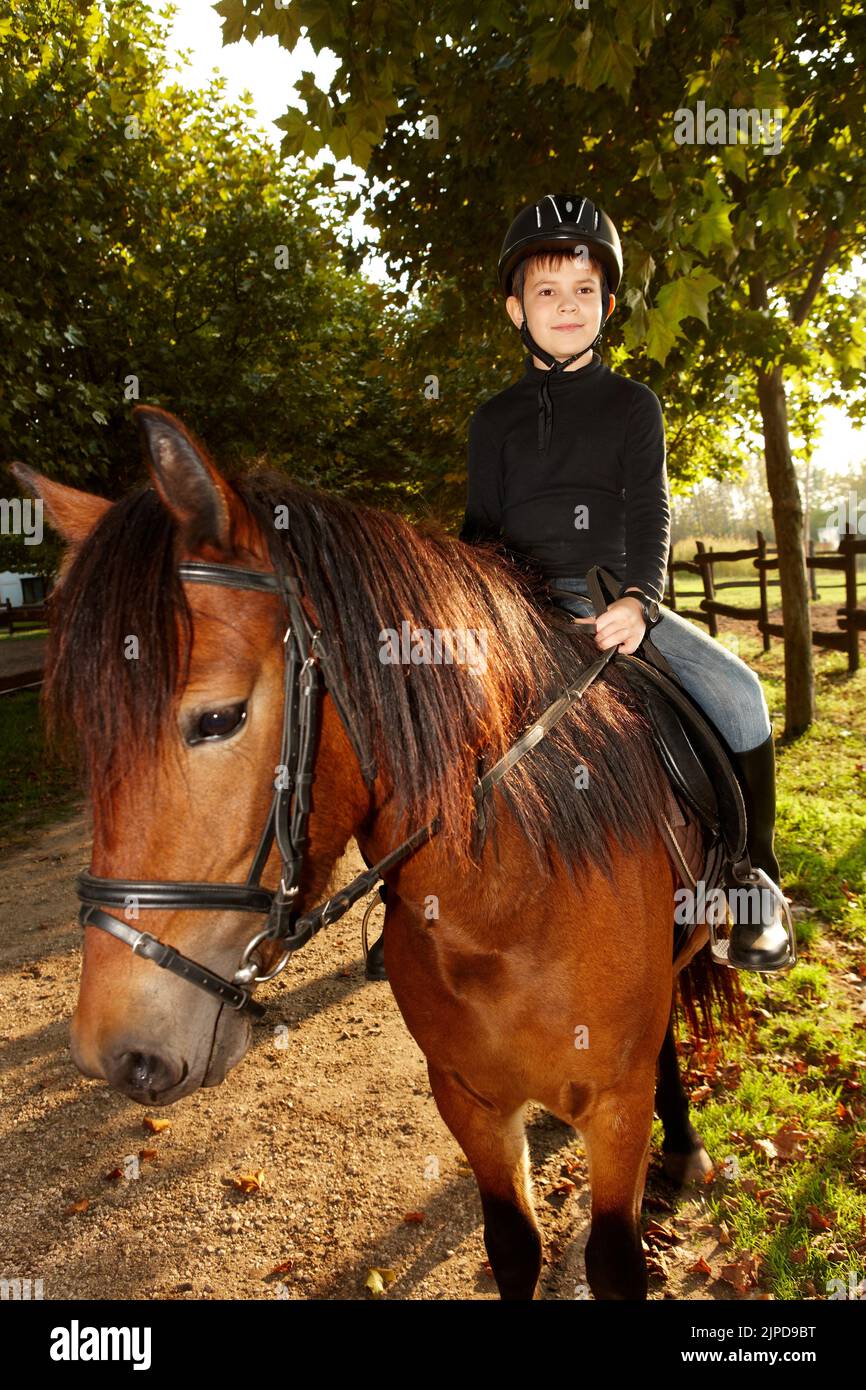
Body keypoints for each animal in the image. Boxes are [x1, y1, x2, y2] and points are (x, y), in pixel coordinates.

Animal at [11, 404, 739, 1300]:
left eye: (218, 719)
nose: (116, 1053)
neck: (509, 913)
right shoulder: (466, 1099)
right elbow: (513, 1245)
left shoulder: (616, 1104)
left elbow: (612, 1259)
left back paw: (686, 1146)